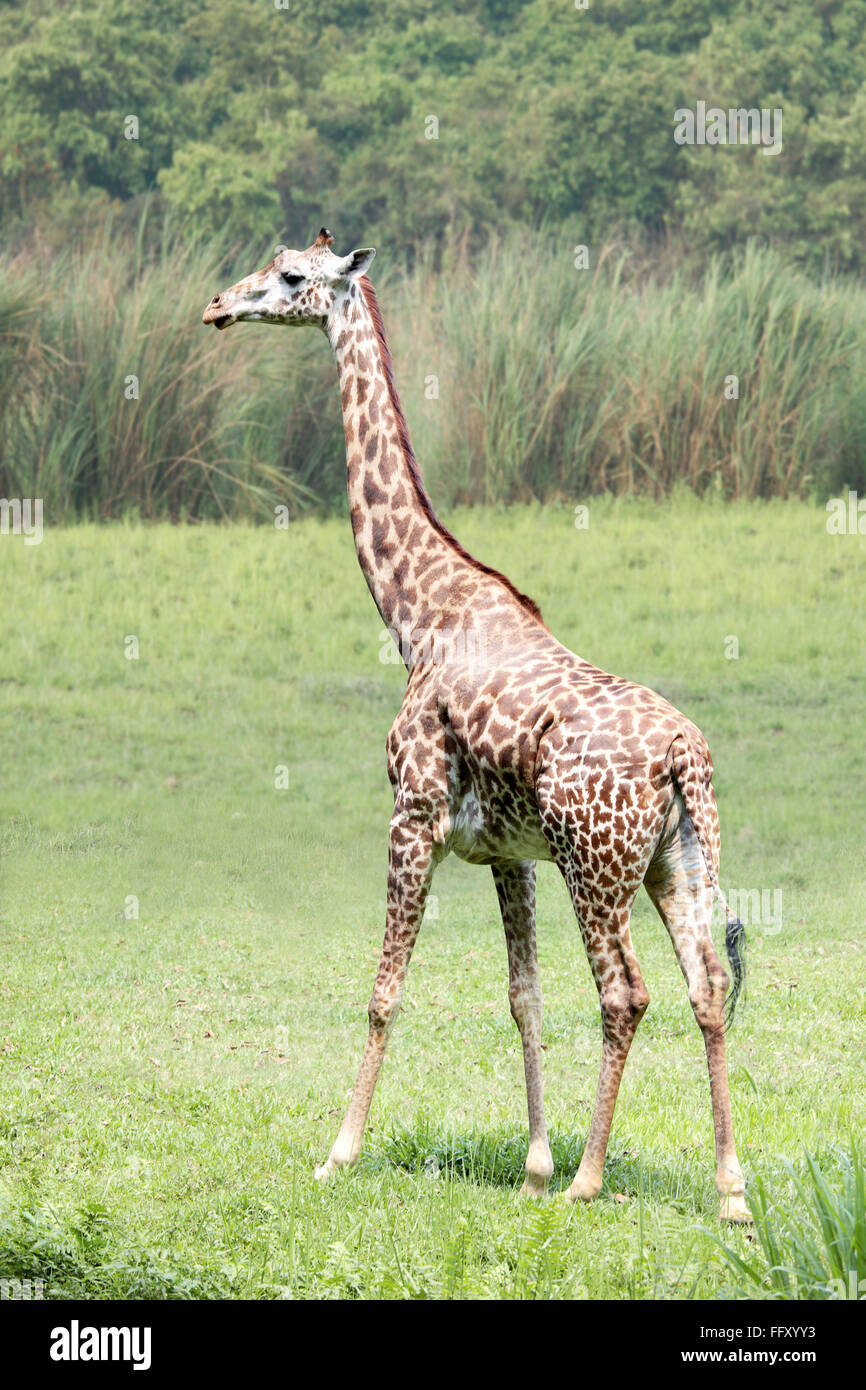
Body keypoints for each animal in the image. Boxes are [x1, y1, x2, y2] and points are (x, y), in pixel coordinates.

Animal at [203, 230, 751, 1221]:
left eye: (293, 276)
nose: (219, 306)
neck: (416, 611)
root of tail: (685, 757)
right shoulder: (507, 852)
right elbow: (522, 994)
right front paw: (531, 1165)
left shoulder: (413, 814)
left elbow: (384, 990)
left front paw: (339, 1154)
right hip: (676, 861)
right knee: (708, 986)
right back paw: (729, 1192)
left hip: (596, 863)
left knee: (626, 994)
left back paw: (590, 1178)